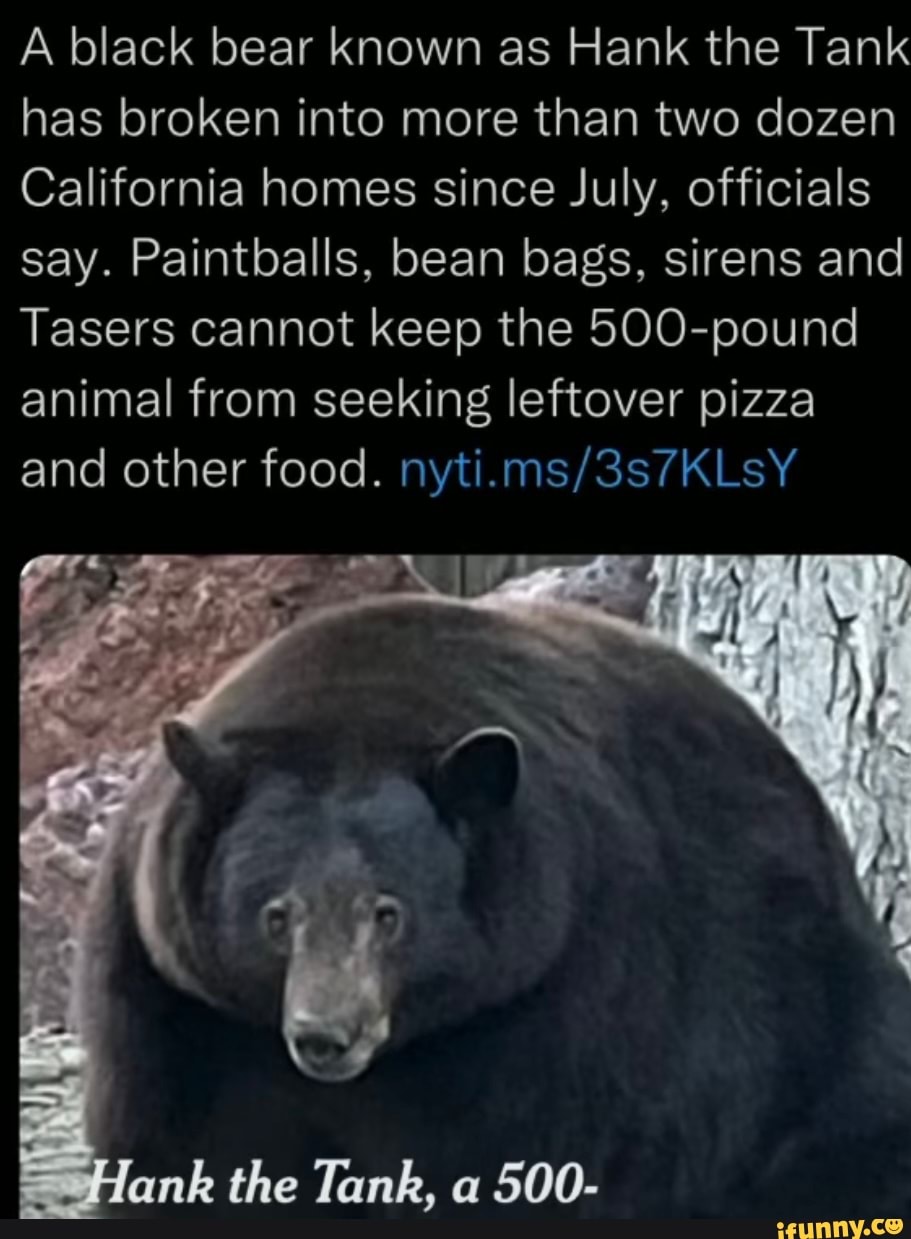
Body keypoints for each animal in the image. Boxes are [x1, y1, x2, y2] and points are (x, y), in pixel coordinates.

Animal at [74, 591, 911, 1218]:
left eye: (390, 912)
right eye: (275, 915)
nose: (325, 1036)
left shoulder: (569, 989)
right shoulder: (177, 1002)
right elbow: (181, 1149)